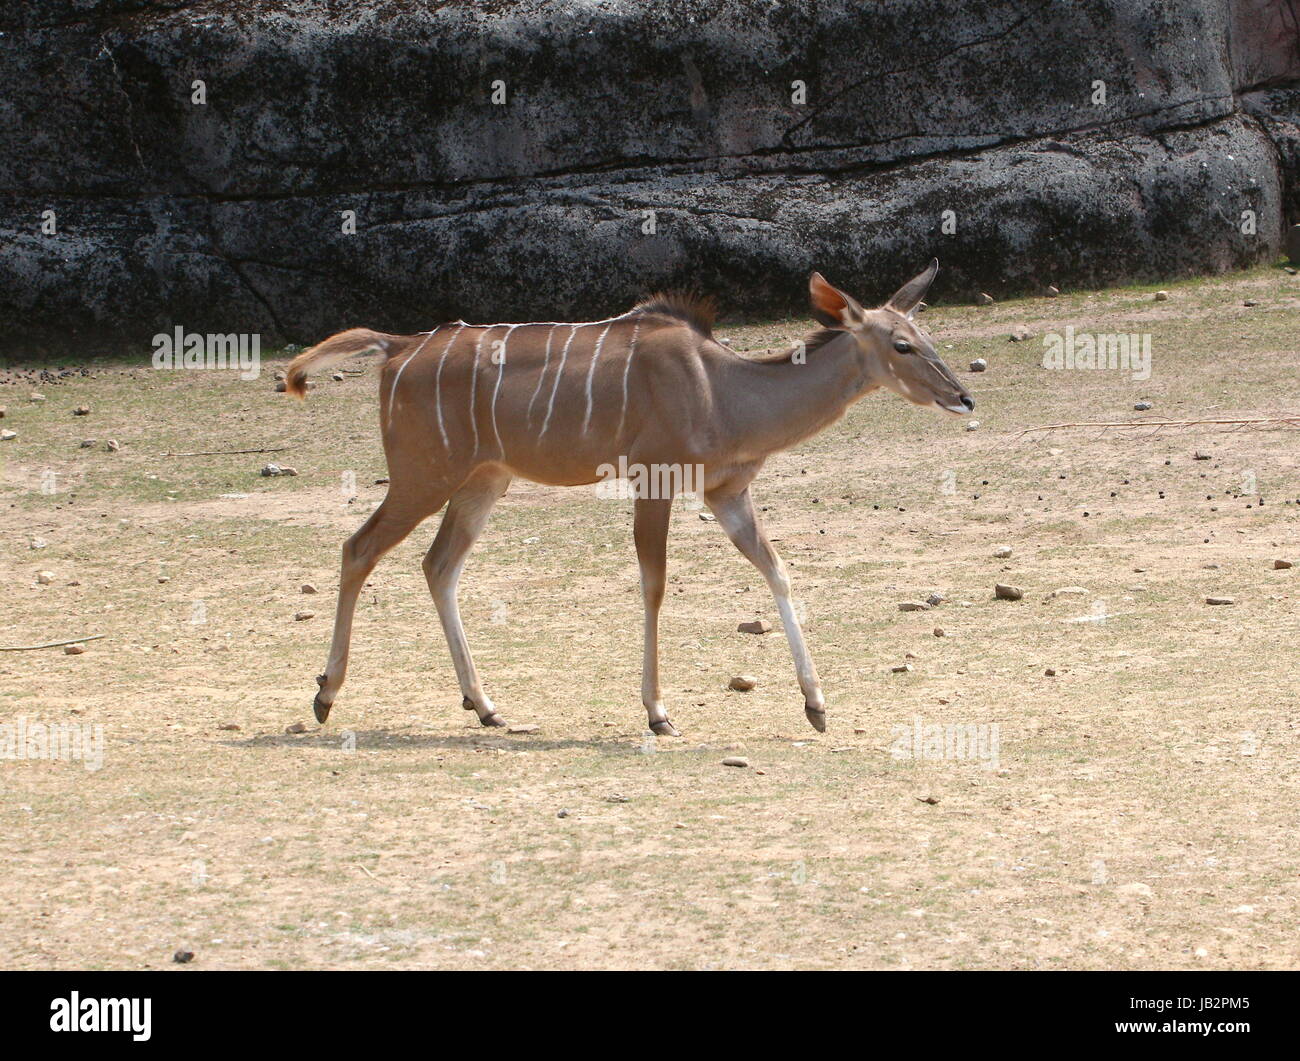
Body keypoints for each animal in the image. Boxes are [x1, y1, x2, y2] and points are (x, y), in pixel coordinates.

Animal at [285, 260, 973, 735]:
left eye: (928, 336)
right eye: (902, 344)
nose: (963, 397)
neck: (724, 390)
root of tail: (395, 348)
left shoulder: (727, 493)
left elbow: (778, 571)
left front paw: (817, 705)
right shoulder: (654, 480)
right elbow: (654, 584)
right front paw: (658, 712)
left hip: (484, 480)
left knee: (438, 564)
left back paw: (486, 707)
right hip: (422, 476)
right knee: (359, 549)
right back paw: (324, 695)